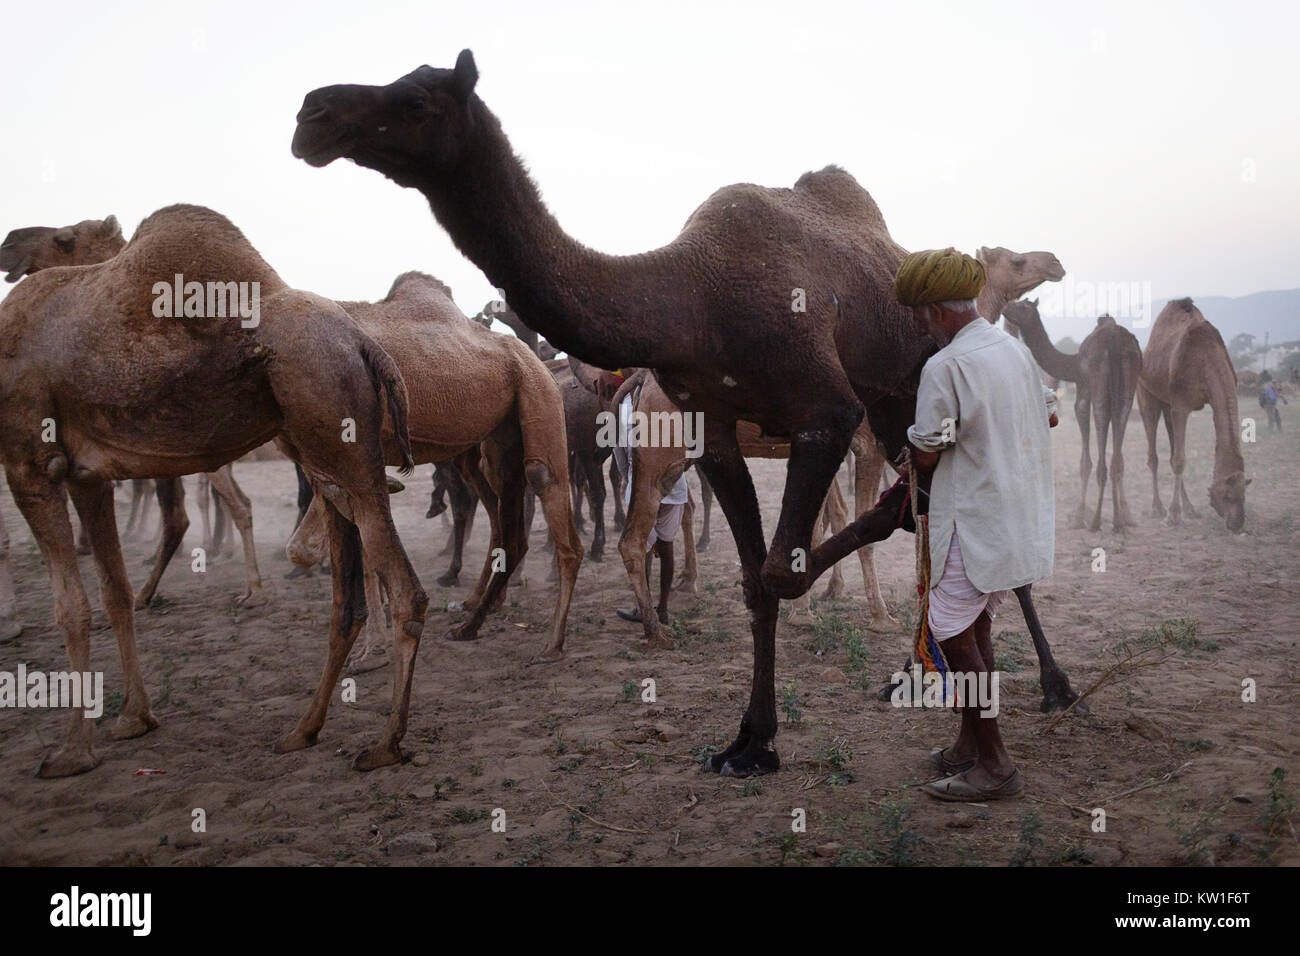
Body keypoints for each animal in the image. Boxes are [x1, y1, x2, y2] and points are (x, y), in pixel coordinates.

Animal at [0, 203, 427, 777]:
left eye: (64, 238)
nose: (8, 246)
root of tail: (366, 343)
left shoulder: (30, 461)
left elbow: (70, 607)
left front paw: (72, 751)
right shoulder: (86, 475)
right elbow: (115, 592)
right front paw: (134, 717)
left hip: (335, 432)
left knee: (405, 590)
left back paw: (385, 744)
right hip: (326, 447)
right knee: (348, 597)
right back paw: (303, 730)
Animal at [283, 271, 583, 662]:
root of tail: (537, 361)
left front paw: (372, 649)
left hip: (536, 390)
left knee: (543, 487)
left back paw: (549, 643)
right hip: (490, 442)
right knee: (505, 524)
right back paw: (473, 618)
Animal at [1005, 300, 1143, 531]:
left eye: (1023, 306)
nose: (1006, 308)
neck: (1071, 365)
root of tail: (1115, 344)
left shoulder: (1083, 390)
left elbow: (1084, 461)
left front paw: (1079, 518)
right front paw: (1128, 516)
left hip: (1099, 383)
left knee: (1101, 426)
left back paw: (1097, 521)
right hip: (1128, 384)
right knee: (1117, 448)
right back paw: (1118, 521)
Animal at [1136, 298, 1248, 531]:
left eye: (1244, 494)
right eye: (1228, 496)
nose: (1237, 523)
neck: (1206, 358)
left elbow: (1177, 457)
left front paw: (1181, 511)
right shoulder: (1181, 404)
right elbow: (1179, 460)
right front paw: (1172, 516)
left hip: (1167, 403)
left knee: (1171, 450)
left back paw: (1189, 508)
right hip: (1146, 394)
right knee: (1154, 455)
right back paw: (1157, 508)